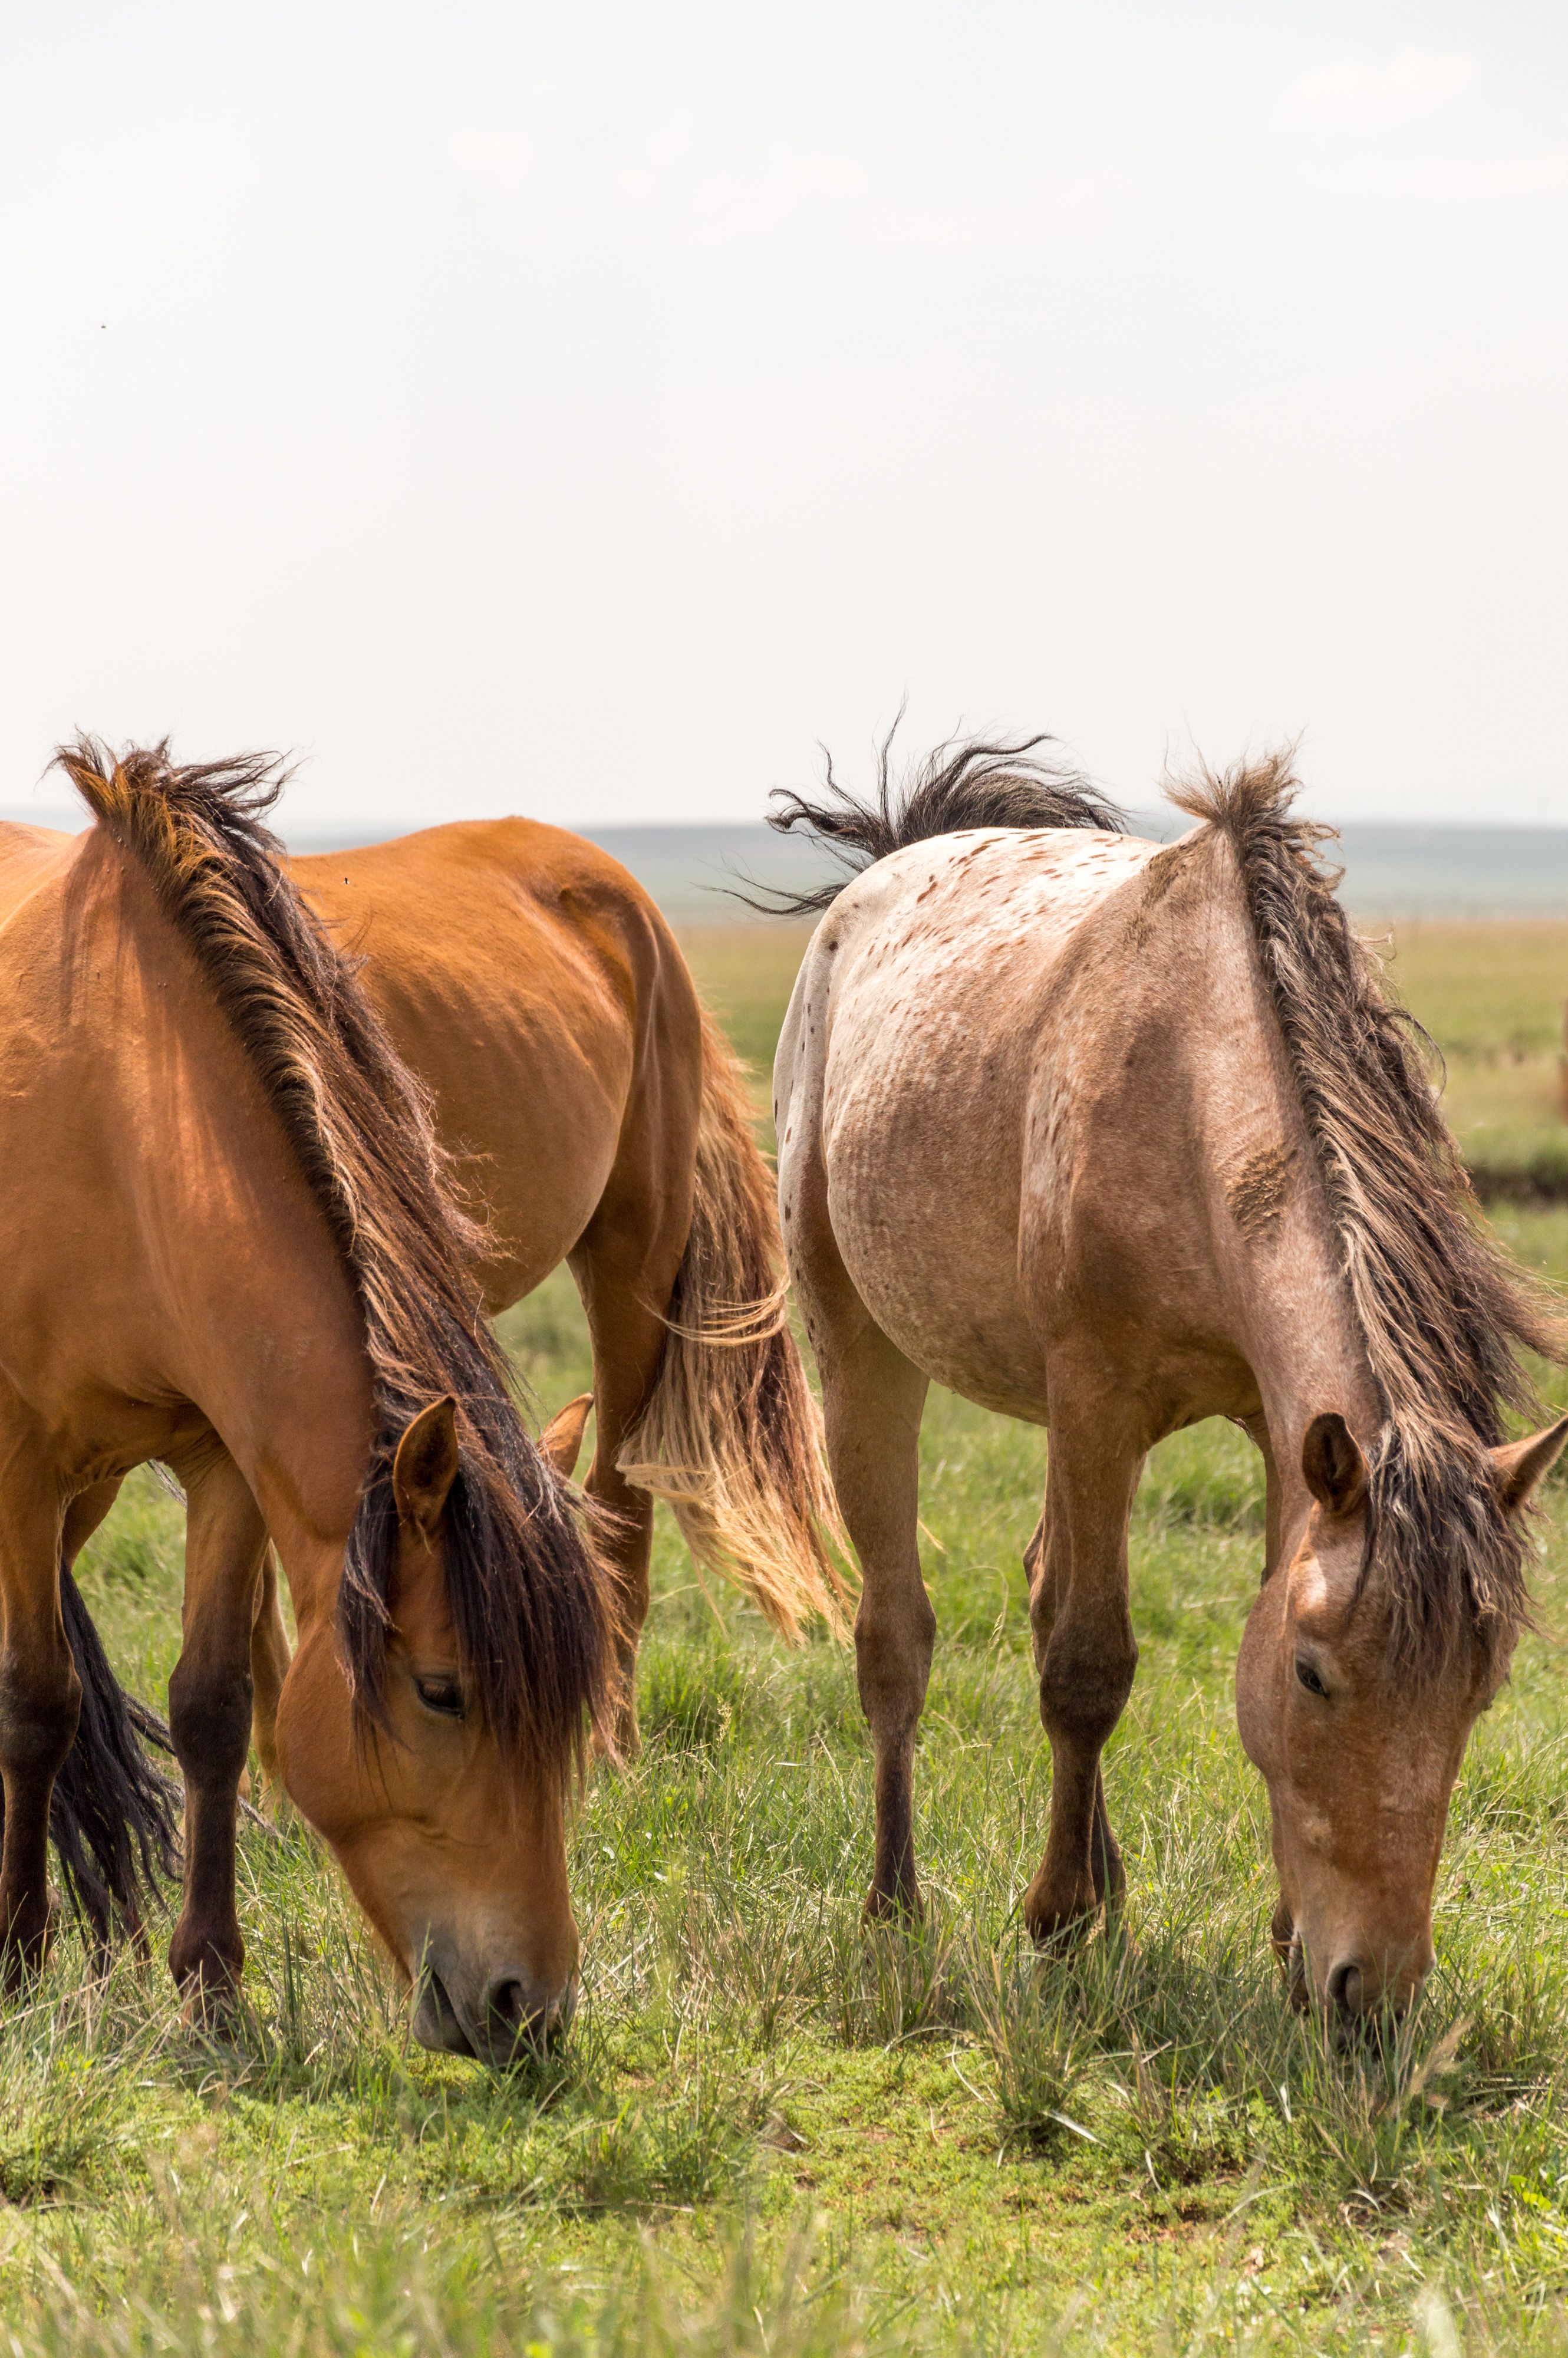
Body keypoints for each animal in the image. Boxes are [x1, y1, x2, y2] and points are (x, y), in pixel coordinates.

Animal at [0, 743, 620, 2062]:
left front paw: (211, 1983)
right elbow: (34, 1698)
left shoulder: (225, 1456)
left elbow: (216, 1707)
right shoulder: (21, 1458)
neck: (116, 1107)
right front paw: (18, 1955)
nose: (528, 2007)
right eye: (442, 1690)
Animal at [770, 735, 1568, 2023]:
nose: (1372, 1994)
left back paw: (1105, 1883)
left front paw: (1275, 1942)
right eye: (1312, 1674)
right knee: (898, 1631)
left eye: (1481, 1689)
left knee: (1037, 1579)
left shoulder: (1280, 1431)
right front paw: (1054, 1920)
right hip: (861, 1351)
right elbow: (1086, 1663)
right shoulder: (1095, 1396)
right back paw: (898, 1905)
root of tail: (890, 862)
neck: (1192, 1077)